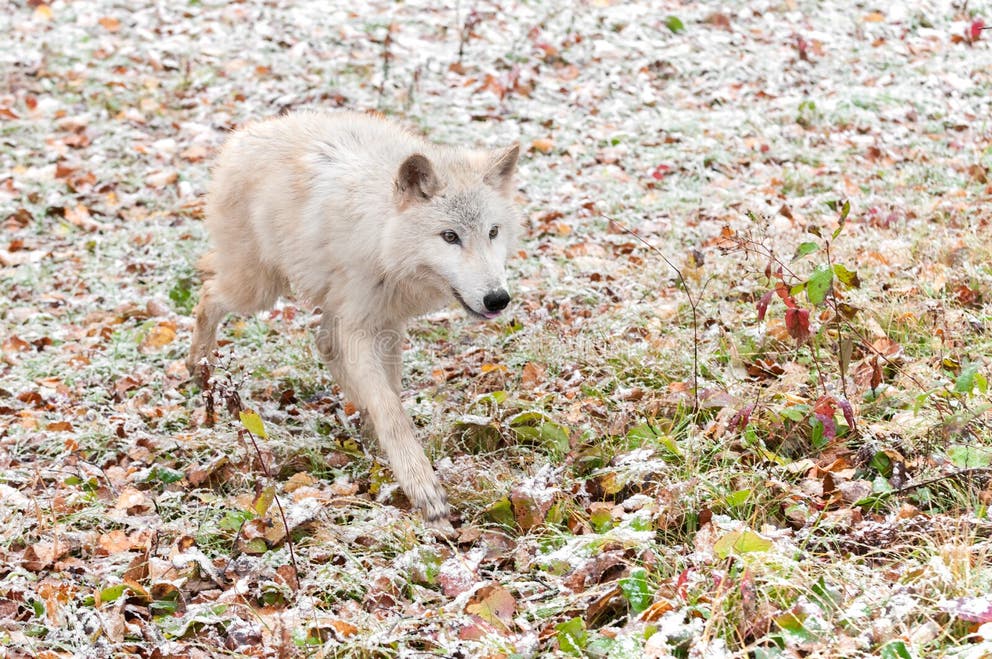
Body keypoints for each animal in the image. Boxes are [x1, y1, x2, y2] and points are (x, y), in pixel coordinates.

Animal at [186, 111, 521, 532]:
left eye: (493, 232)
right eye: (450, 236)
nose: (498, 299)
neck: (384, 238)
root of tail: (242, 136)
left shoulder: (388, 323)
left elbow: (389, 394)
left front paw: (379, 447)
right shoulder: (361, 324)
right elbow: (391, 412)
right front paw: (423, 490)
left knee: (324, 342)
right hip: (257, 290)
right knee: (208, 294)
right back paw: (198, 367)